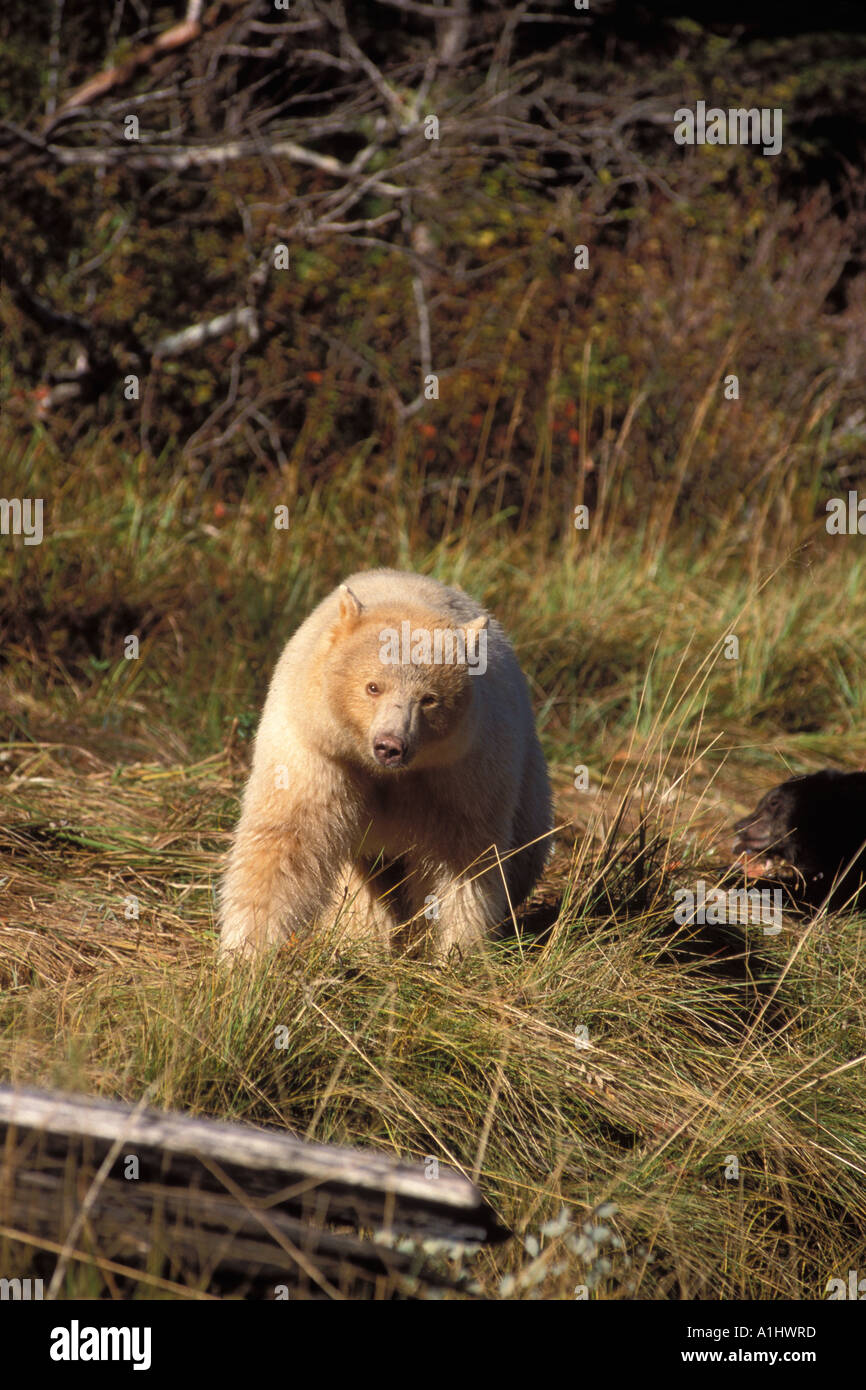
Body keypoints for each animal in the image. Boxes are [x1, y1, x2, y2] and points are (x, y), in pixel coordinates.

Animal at [219, 569, 552, 960]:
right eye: (373, 687)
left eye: (429, 699)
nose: (390, 746)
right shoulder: (318, 752)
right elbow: (286, 839)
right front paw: (245, 953)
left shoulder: (461, 772)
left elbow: (467, 859)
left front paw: (457, 951)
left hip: (530, 781)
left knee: (526, 851)